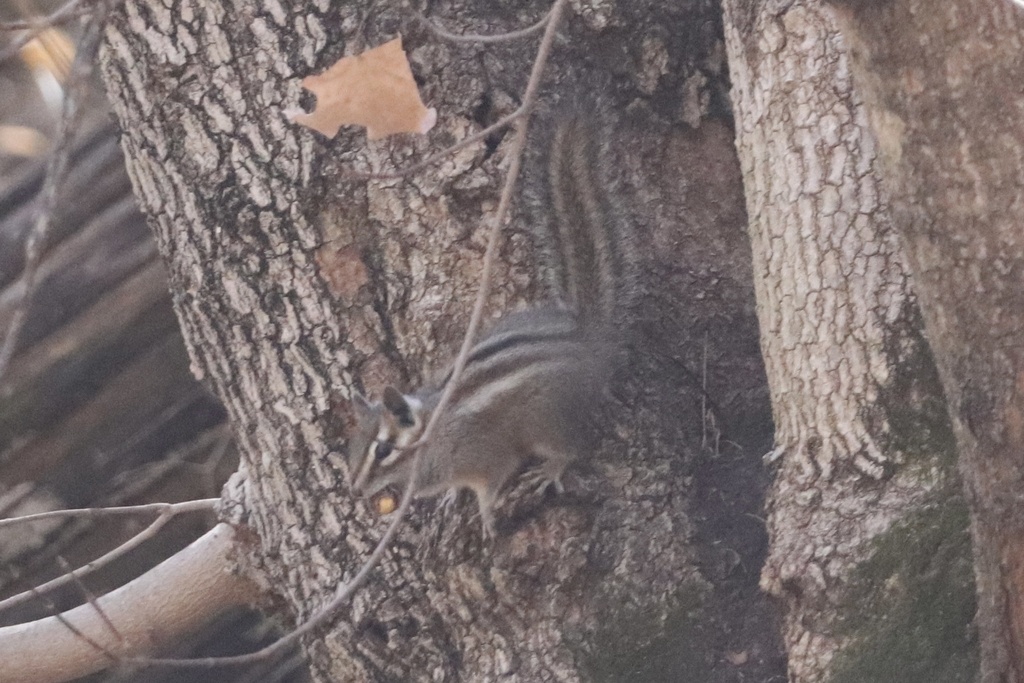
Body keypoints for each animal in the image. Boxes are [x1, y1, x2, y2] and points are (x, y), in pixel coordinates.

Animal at [347, 116, 638, 538]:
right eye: (352, 447)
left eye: (384, 450)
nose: (354, 489)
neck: (432, 433)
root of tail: (586, 337)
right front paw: (452, 495)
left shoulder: (485, 457)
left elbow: (489, 484)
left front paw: (484, 514)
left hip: (550, 420)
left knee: (572, 447)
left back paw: (551, 468)